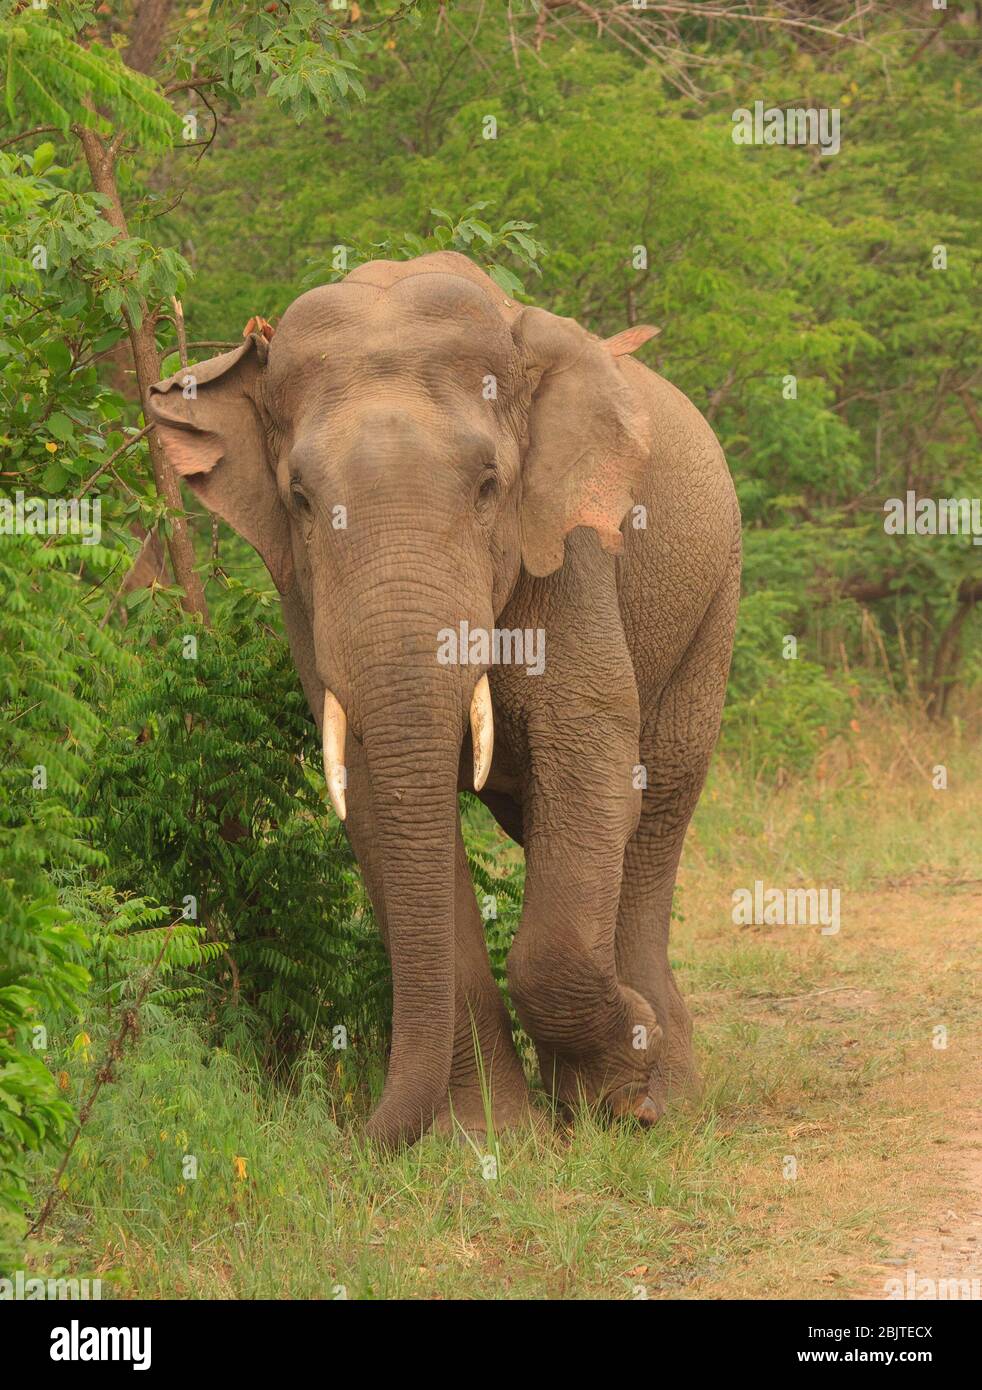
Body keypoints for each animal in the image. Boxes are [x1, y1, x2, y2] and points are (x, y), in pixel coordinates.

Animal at [149, 251, 741, 1148]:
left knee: (656, 809)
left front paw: (619, 1089)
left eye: (491, 485)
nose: (354, 1140)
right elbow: (376, 806)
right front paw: (491, 1143)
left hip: (714, 605)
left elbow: (591, 762)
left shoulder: (568, 551)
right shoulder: (305, 601)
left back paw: (657, 1098)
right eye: (299, 499)